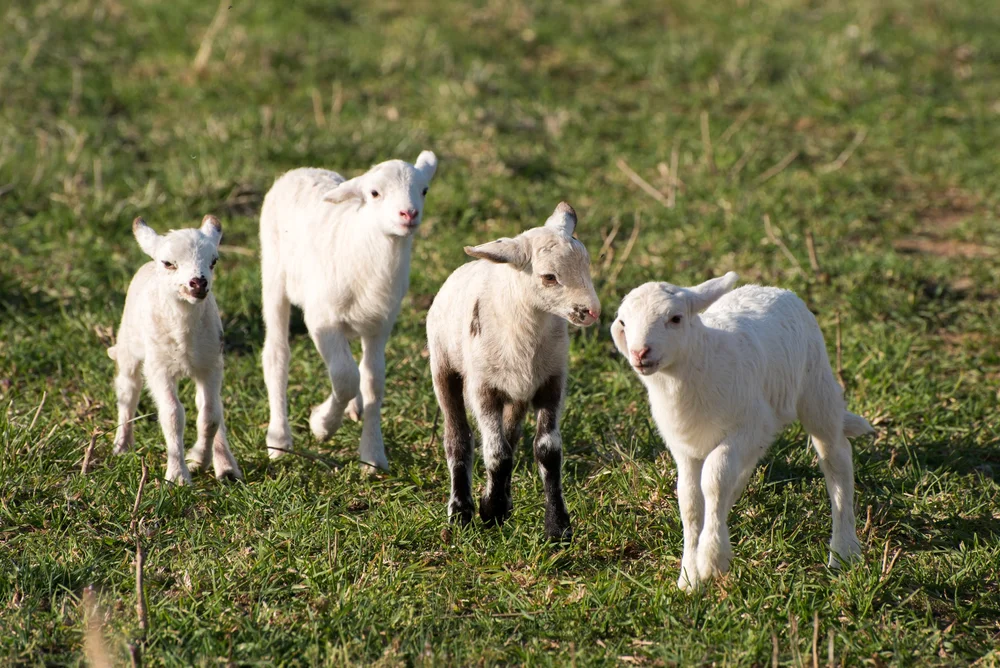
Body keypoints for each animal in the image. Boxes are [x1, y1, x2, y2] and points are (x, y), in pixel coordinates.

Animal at [108, 215, 242, 484]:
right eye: (169, 263)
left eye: (214, 261)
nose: (198, 283)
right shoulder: (159, 368)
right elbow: (172, 415)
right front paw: (178, 476)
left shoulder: (211, 365)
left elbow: (210, 416)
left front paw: (199, 460)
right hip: (129, 343)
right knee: (128, 390)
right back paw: (122, 444)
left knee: (210, 406)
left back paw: (226, 466)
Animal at [260, 151, 438, 470]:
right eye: (375, 193)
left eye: (424, 190)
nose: (409, 214)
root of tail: (301, 169)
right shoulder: (321, 318)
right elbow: (344, 378)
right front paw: (322, 425)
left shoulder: (380, 324)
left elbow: (372, 381)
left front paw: (373, 455)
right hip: (273, 275)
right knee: (277, 355)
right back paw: (279, 440)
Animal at [426, 202, 601, 541]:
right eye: (549, 277)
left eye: (587, 264)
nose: (592, 312)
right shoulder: (482, 389)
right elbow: (497, 453)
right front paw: (489, 511)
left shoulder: (552, 382)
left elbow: (547, 451)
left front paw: (557, 527)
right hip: (443, 366)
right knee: (458, 438)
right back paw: (461, 510)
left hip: (518, 390)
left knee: (511, 434)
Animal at [610, 273, 873, 590]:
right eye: (623, 323)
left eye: (675, 318)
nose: (639, 353)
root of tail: (773, 288)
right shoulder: (684, 447)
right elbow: (690, 502)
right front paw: (690, 576)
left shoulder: (749, 426)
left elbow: (714, 477)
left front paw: (711, 559)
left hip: (815, 385)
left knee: (836, 457)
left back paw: (844, 552)